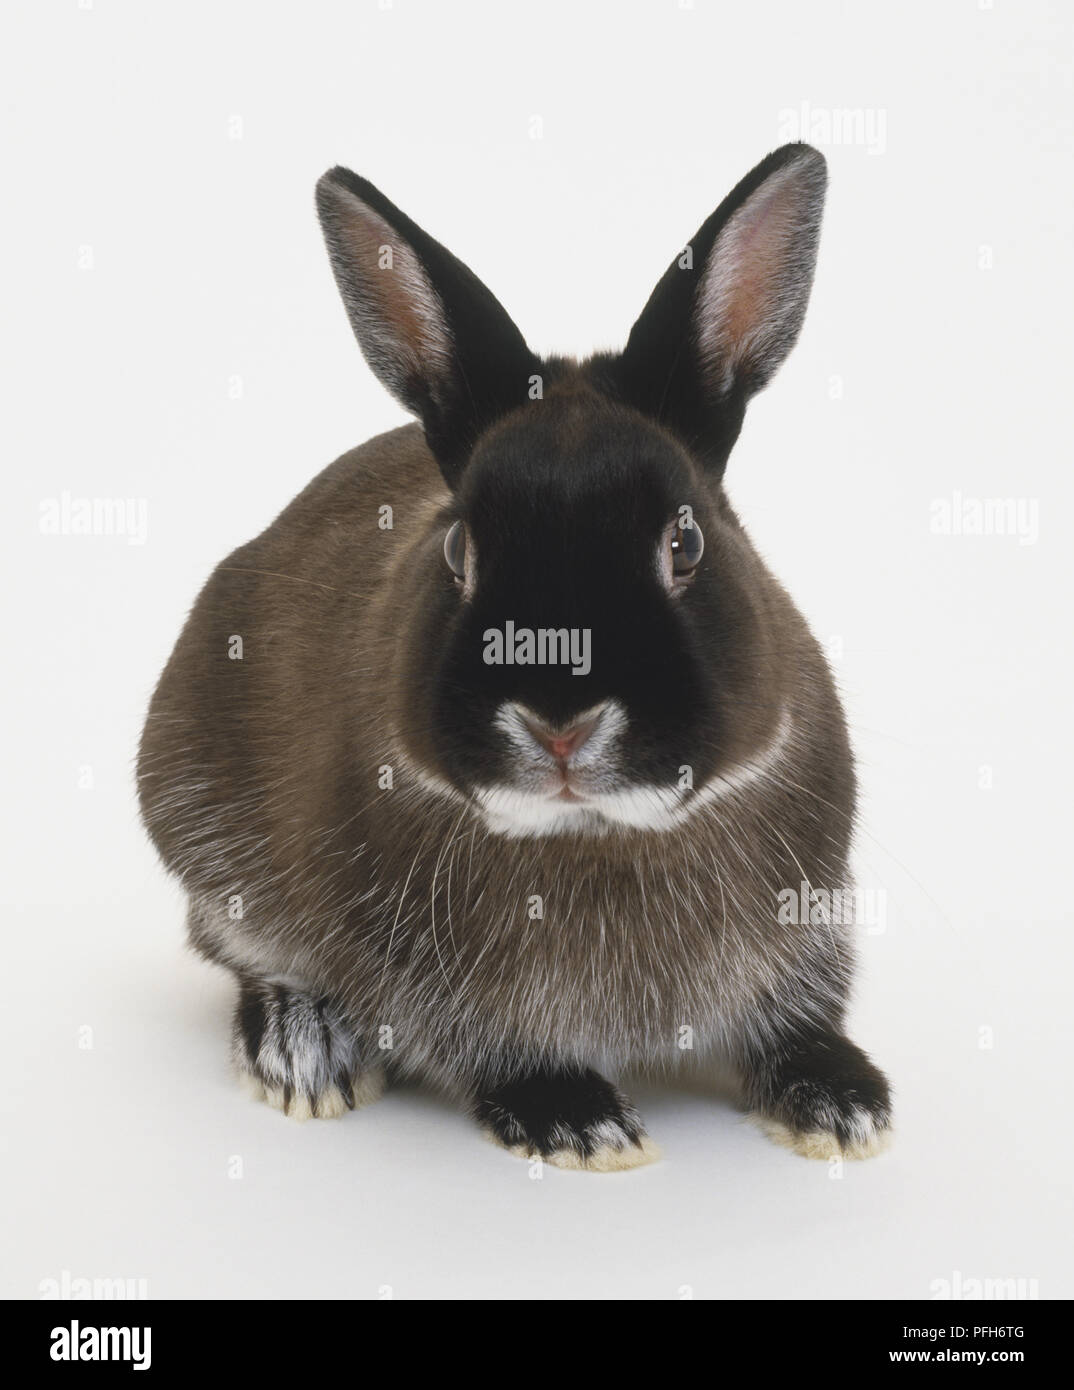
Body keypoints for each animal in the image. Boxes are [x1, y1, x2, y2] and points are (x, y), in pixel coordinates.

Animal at [138, 142, 892, 1171]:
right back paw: (304, 1053)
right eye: (460, 550)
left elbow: (798, 1018)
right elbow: (487, 1045)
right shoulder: (427, 977)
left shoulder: (804, 933)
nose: (560, 724)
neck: (595, 833)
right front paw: (577, 1121)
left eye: (686, 541)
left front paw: (845, 1105)